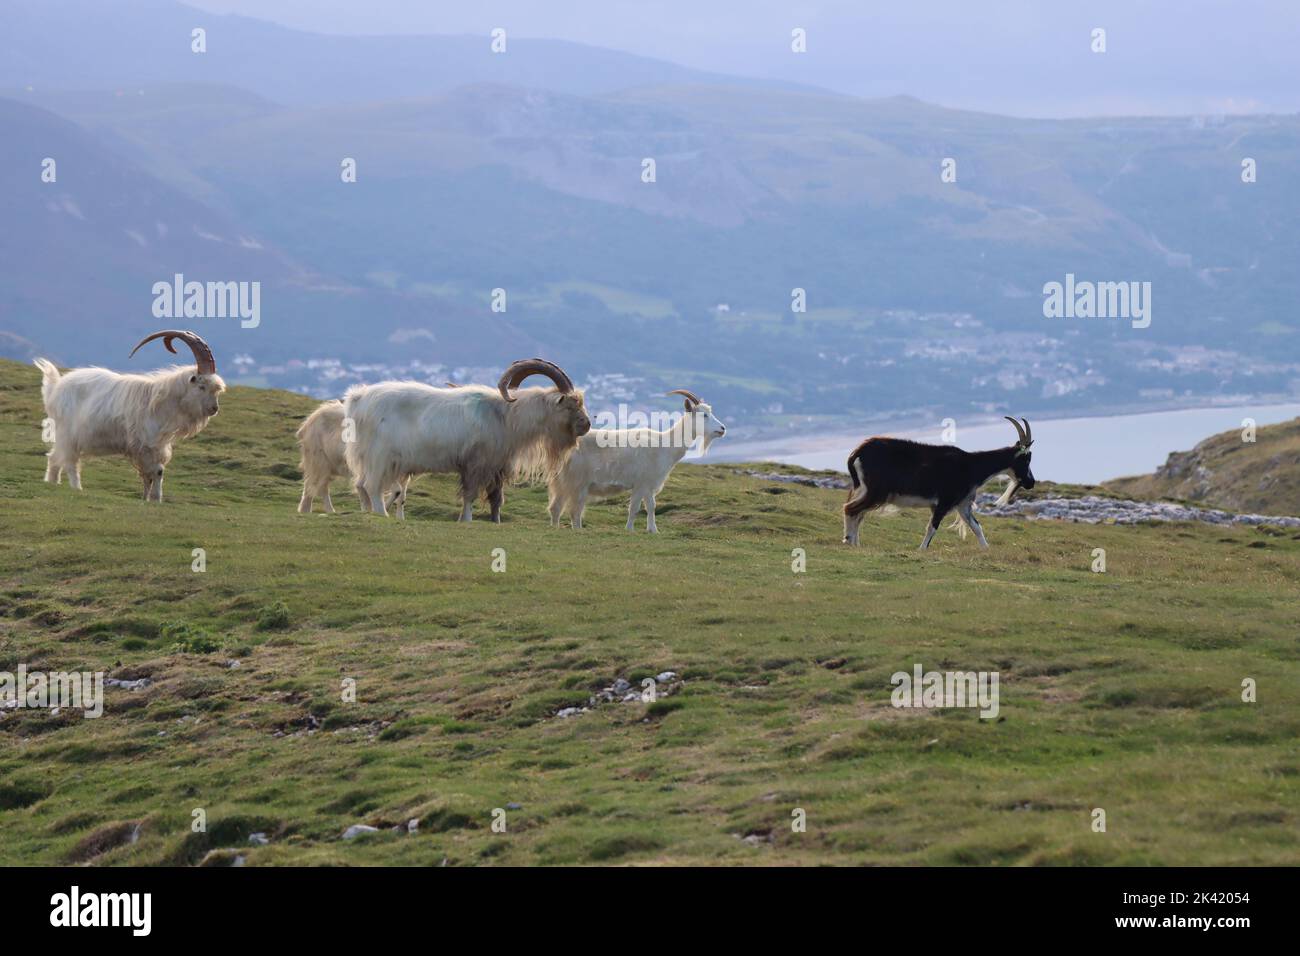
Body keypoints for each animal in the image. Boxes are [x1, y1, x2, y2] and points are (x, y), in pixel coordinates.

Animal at [35, 330, 225, 502]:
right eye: (202, 386)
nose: (214, 409)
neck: (160, 401)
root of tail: (55, 388)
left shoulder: (156, 446)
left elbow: (151, 474)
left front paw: (146, 498)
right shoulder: (147, 445)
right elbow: (157, 471)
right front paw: (155, 499)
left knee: (54, 458)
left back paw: (53, 483)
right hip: (69, 435)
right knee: (70, 462)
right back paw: (77, 488)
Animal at [342, 358, 590, 521]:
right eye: (570, 404)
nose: (586, 425)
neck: (504, 415)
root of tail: (358, 399)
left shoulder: (496, 467)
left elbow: (496, 500)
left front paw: (496, 523)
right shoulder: (475, 464)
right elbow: (469, 496)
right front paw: (467, 520)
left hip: (369, 458)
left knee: (360, 485)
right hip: (380, 458)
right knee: (372, 487)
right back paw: (381, 515)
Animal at [548, 389, 726, 532]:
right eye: (704, 414)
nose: (722, 428)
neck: (664, 444)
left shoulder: (648, 485)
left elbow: (651, 506)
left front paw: (652, 530)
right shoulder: (641, 483)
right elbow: (635, 508)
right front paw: (630, 529)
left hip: (563, 482)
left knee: (556, 507)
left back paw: (555, 529)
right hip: (577, 483)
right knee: (574, 511)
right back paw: (577, 530)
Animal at [842, 417, 1035, 549]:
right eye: (1026, 459)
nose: (1031, 482)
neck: (971, 466)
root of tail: (856, 453)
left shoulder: (962, 505)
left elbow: (977, 527)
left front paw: (987, 550)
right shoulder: (944, 502)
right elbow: (932, 527)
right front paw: (921, 550)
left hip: (866, 490)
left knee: (857, 514)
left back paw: (855, 543)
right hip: (876, 491)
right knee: (850, 509)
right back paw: (849, 541)